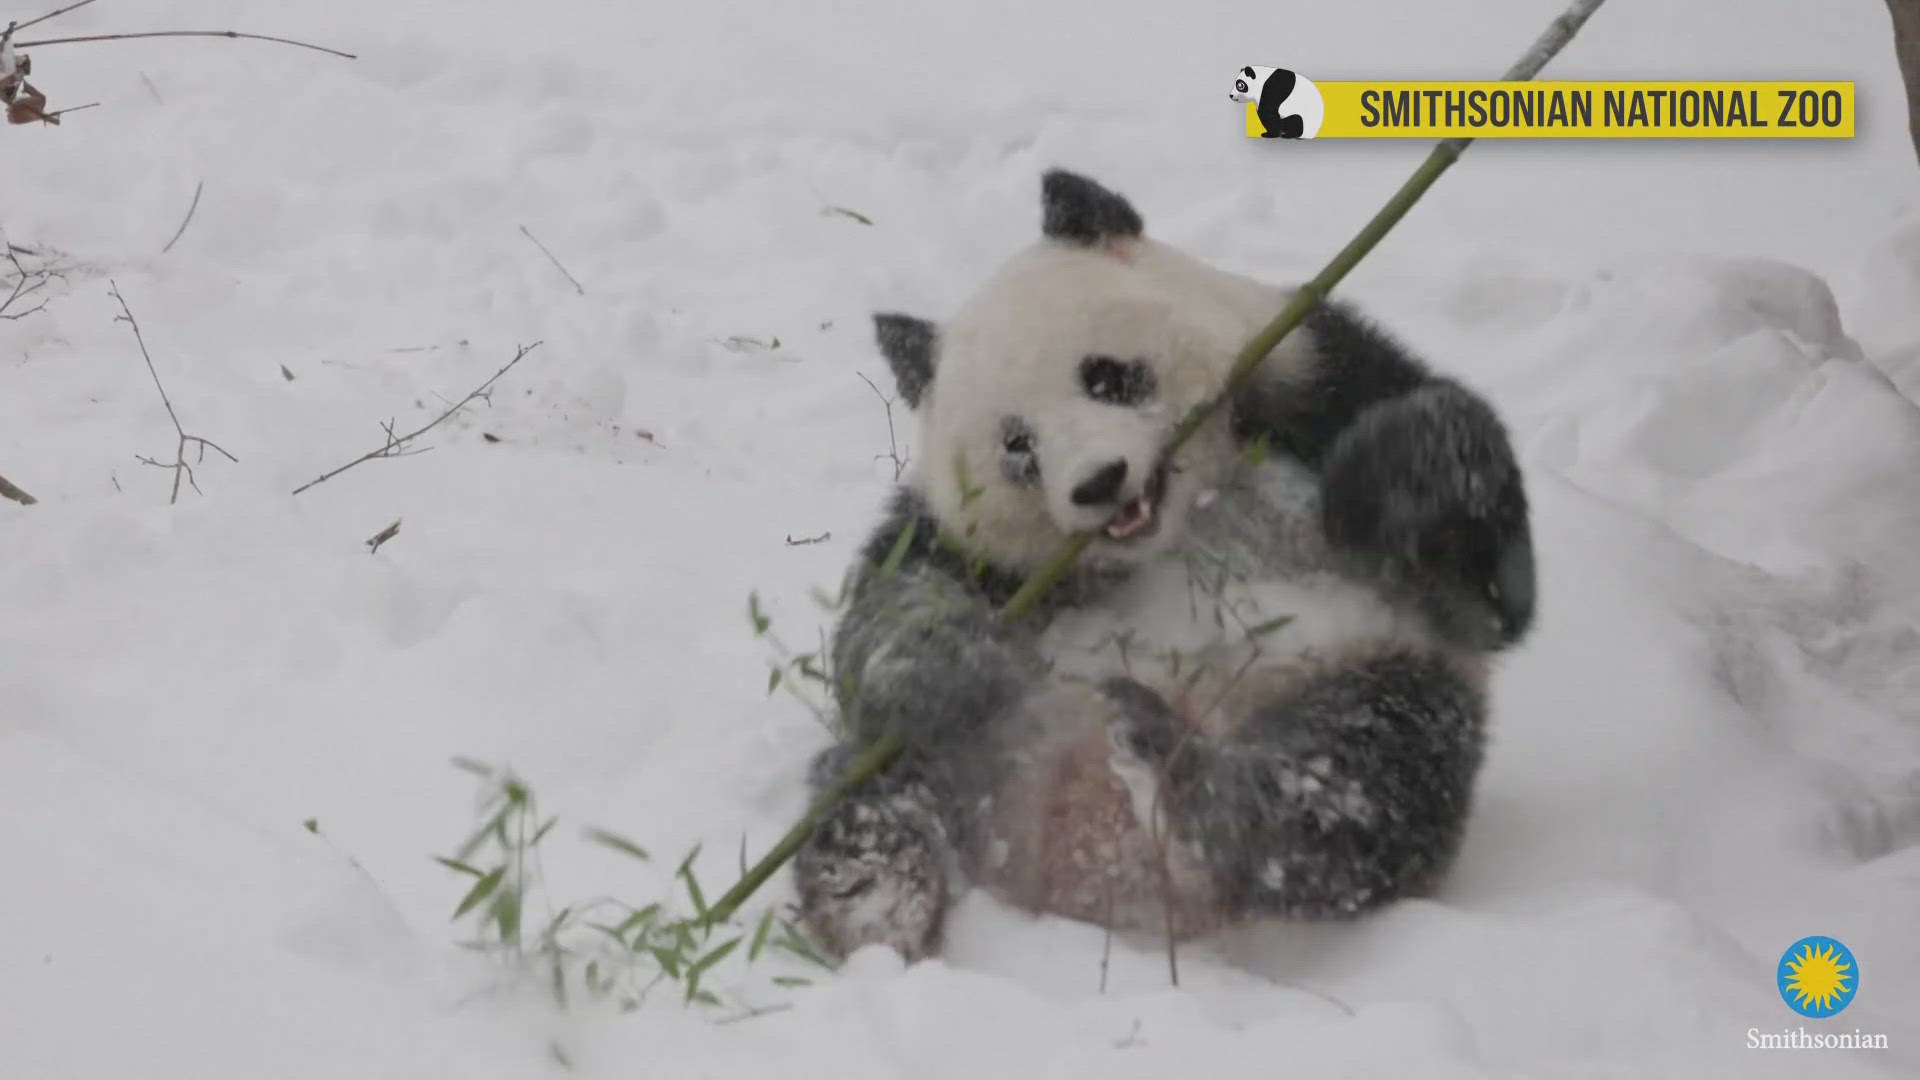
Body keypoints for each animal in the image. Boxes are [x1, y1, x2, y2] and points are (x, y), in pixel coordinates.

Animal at [794, 169, 1535, 960]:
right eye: (1018, 444)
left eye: (1107, 376)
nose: (1099, 483)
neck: (1178, 522)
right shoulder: (973, 545)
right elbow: (892, 604)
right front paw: (941, 656)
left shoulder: (1315, 372)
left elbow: (1483, 586)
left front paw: (1394, 473)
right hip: (957, 755)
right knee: (867, 778)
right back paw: (875, 895)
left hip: (1362, 667)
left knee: (1356, 778)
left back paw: (1183, 780)